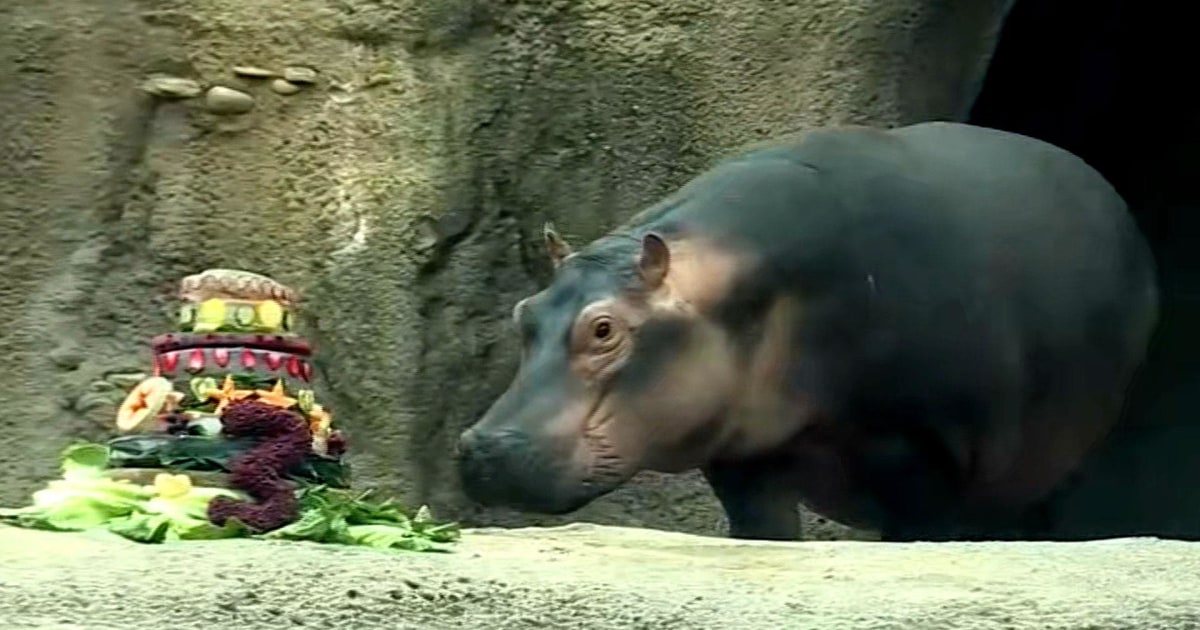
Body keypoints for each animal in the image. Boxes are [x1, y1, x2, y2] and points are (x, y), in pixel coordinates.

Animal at [456, 121, 1160, 542]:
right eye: (524, 313)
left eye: (603, 329)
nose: (482, 448)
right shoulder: (742, 453)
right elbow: (766, 532)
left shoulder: (929, 455)